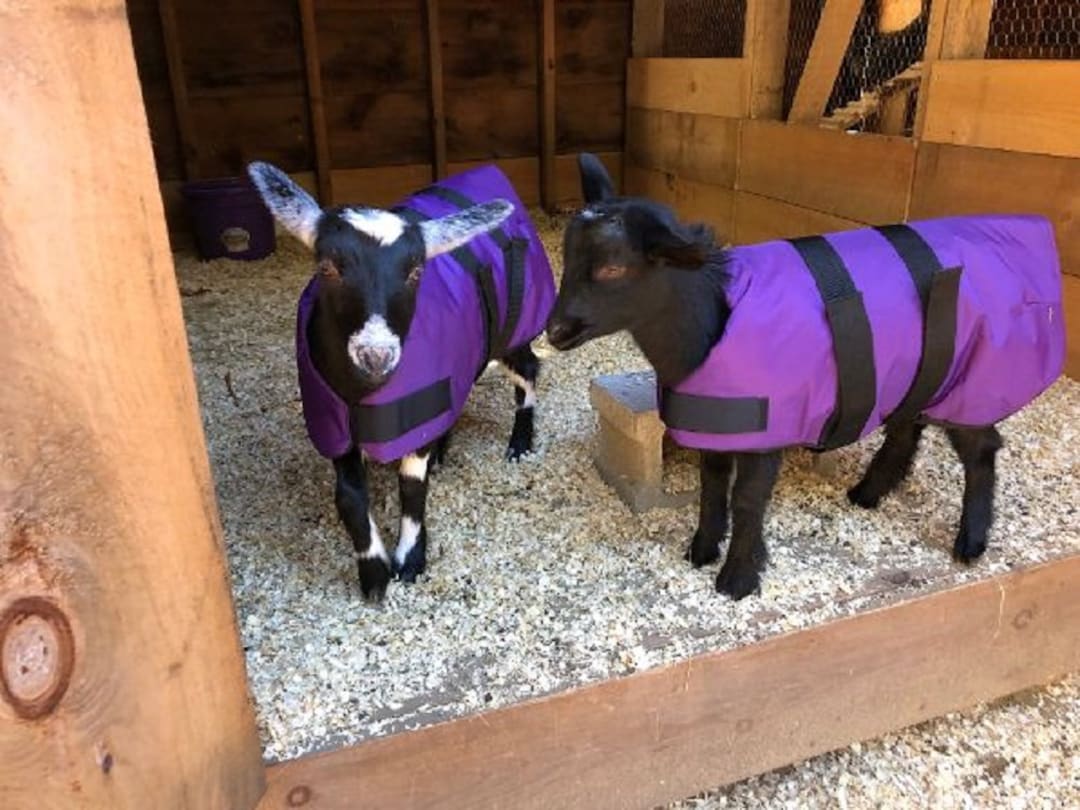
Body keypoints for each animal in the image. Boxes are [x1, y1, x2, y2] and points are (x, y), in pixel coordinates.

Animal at [248, 162, 555, 600]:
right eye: (327, 267)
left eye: (415, 272)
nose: (376, 354)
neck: (362, 392)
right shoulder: (334, 422)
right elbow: (349, 497)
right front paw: (373, 573)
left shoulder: (415, 409)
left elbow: (412, 489)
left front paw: (409, 560)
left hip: (509, 338)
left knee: (528, 370)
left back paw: (519, 441)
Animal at [546, 153, 1064, 600]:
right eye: (567, 259)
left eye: (613, 268)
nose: (554, 331)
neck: (711, 322)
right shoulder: (717, 420)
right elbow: (712, 489)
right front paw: (702, 550)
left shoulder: (767, 427)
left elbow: (748, 500)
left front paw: (738, 578)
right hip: (917, 372)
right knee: (906, 430)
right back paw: (867, 494)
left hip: (975, 379)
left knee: (981, 450)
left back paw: (970, 542)